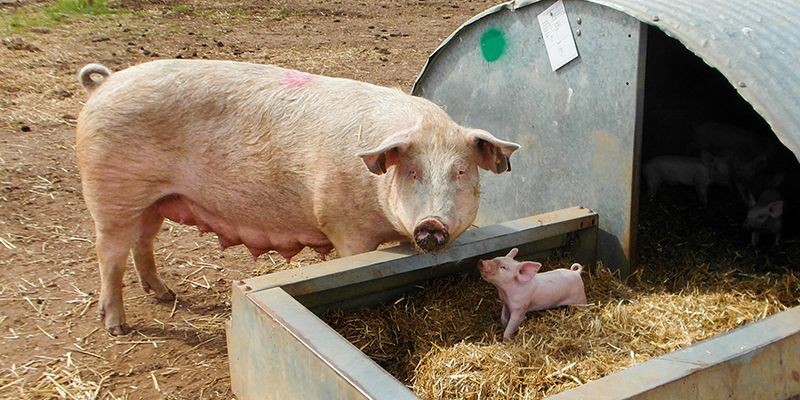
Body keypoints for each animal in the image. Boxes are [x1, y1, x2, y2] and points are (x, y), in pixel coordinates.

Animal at [76, 60, 521, 335]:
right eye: (411, 172)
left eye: (460, 171)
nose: (430, 226)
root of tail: (106, 83)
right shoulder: (344, 225)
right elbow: (355, 260)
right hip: (110, 192)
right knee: (109, 255)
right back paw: (116, 327)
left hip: (152, 199)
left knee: (143, 242)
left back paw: (165, 294)